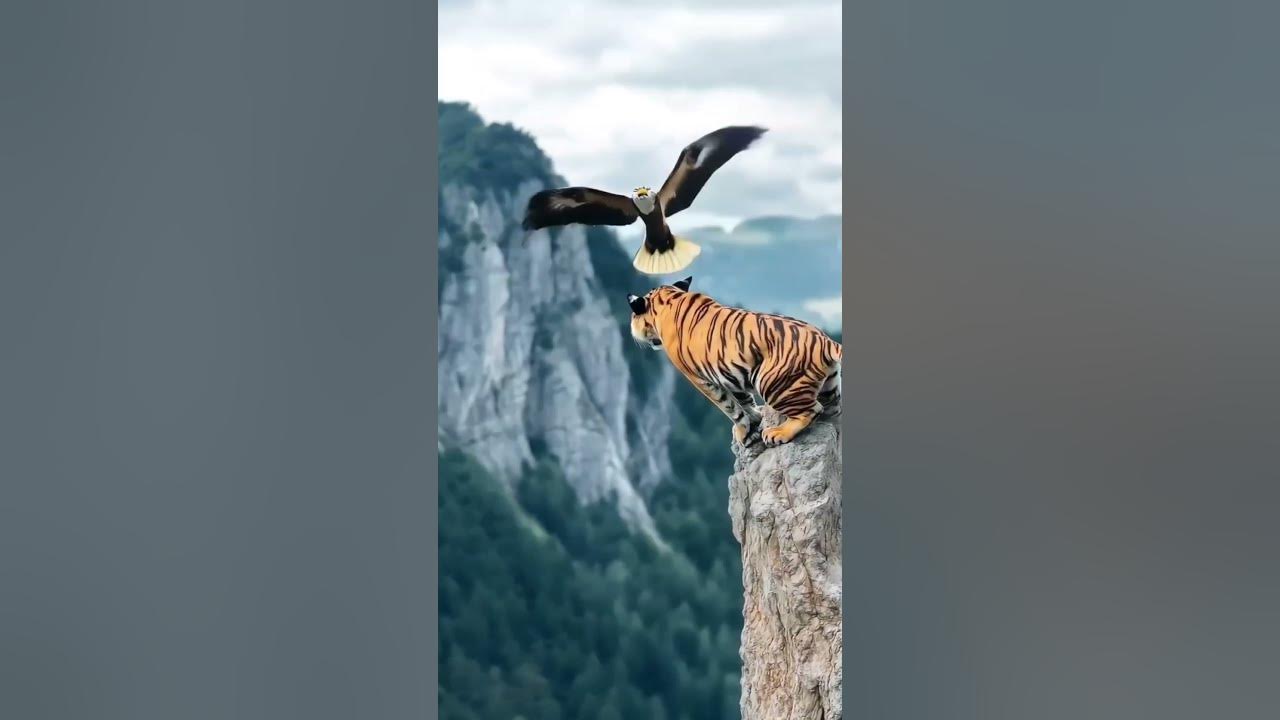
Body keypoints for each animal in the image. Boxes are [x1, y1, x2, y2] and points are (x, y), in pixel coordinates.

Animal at [627, 276, 841, 448]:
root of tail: (825, 340)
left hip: (774, 384)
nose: (632, 331)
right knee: (831, 410)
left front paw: (744, 432)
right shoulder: (729, 371)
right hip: (828, 385)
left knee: (811, 410)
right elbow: (743, 400)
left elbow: (730, 407)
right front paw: (755, 418)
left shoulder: (700, 379)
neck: (670, 299)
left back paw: (777, 433)